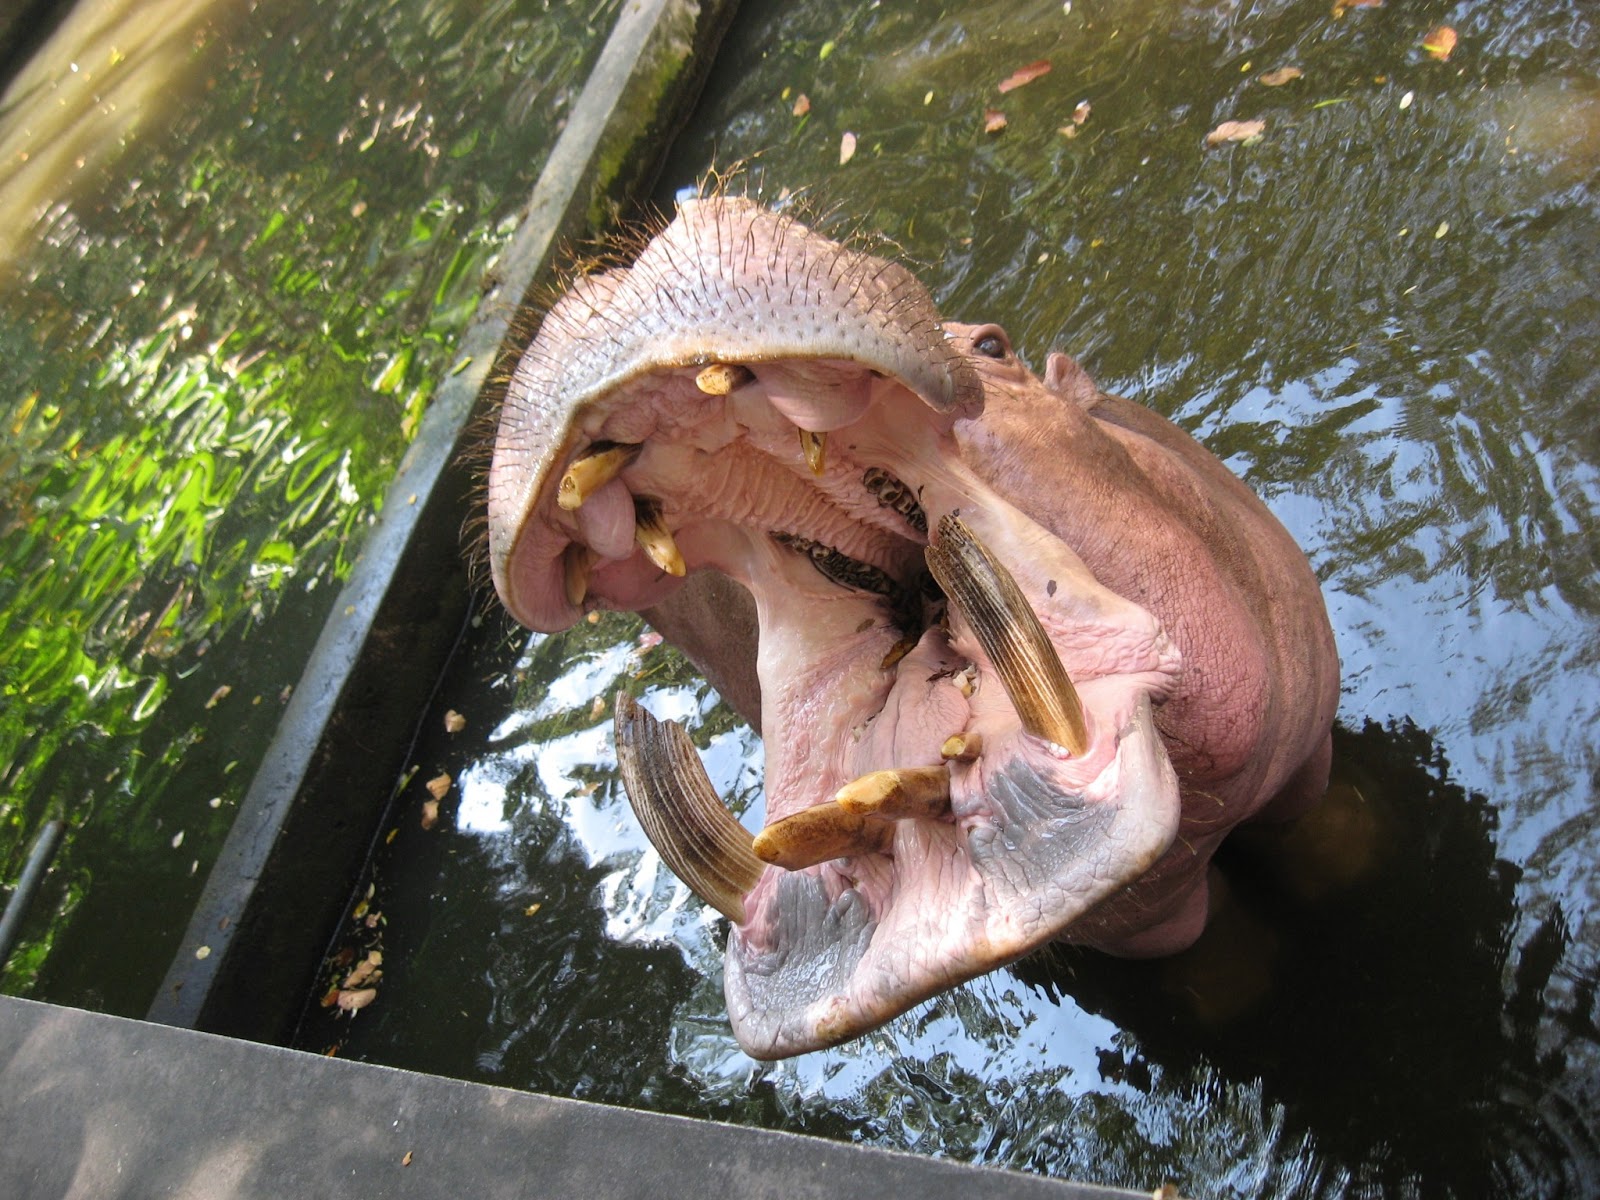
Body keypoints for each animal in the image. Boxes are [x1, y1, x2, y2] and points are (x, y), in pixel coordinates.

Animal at [486, 196, 1339, 1059]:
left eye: (992, 344)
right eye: (686, 606)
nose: (614, 276)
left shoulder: (1309, 759)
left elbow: (1329, 839)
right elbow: (1223, 978)